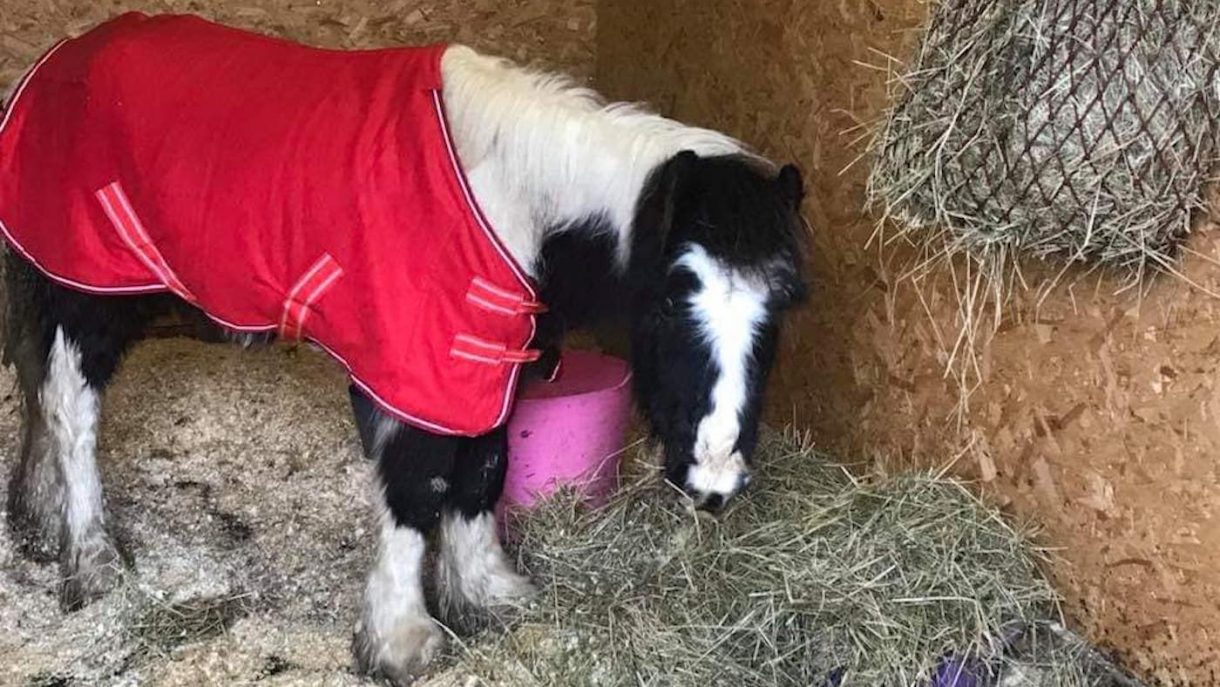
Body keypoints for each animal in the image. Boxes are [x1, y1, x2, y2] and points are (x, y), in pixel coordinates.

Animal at [0, 14, 808, 684]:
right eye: (673, 297)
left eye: (781, 305)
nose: (715, 480)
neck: (506, 201)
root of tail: (58, 56)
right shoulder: (417, 370)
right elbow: (420, 486)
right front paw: (400, 640)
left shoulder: (483, 359)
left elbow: (483, 469)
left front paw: (487, 594)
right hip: (88, 288)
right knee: (70, 407)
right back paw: (92, 561)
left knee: (37, 383)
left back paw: (38, 521)